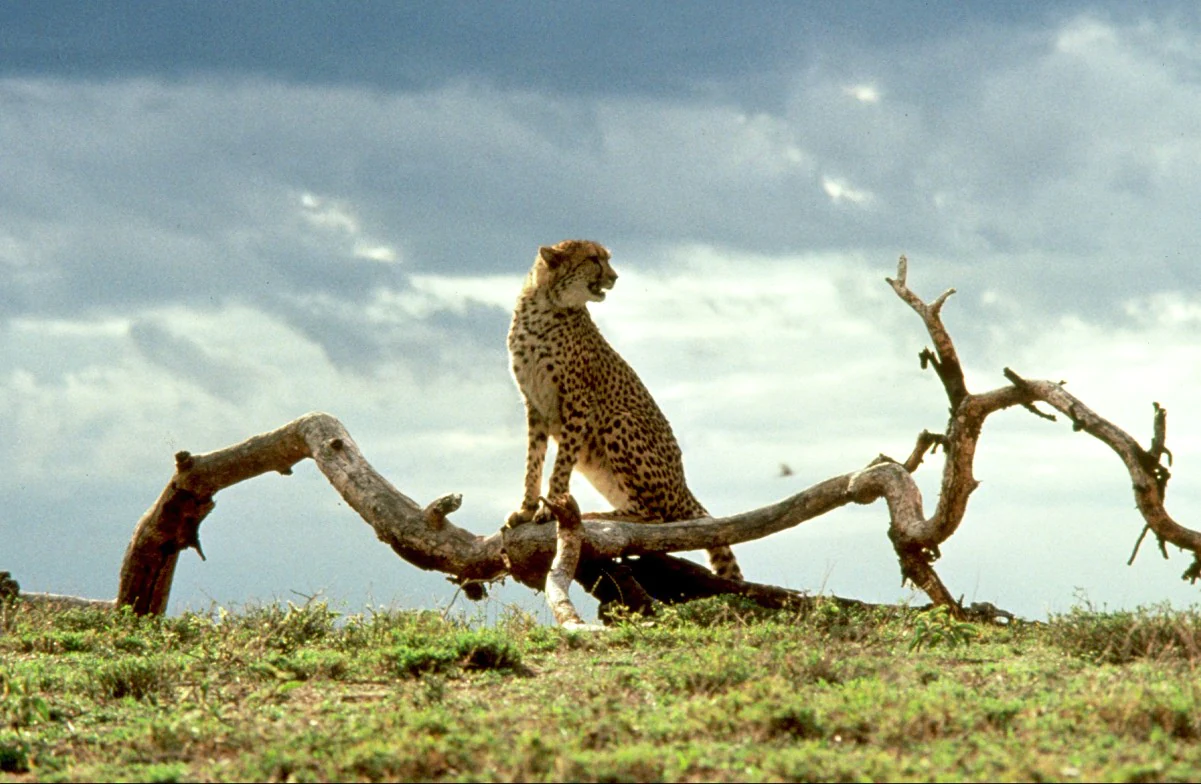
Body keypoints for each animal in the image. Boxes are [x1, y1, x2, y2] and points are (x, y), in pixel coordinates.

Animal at [505, 239, 743, 582]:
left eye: (607, 259)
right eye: (593, 259)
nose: (614, 277)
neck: (546, 305)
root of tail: (684, 488)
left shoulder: (578, 401)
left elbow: (560, 466)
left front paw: (549, 509)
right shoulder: (534, 405)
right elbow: (533, 462)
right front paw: (525, 509)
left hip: (620, 422)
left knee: (658, 518)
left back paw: (598, 516)